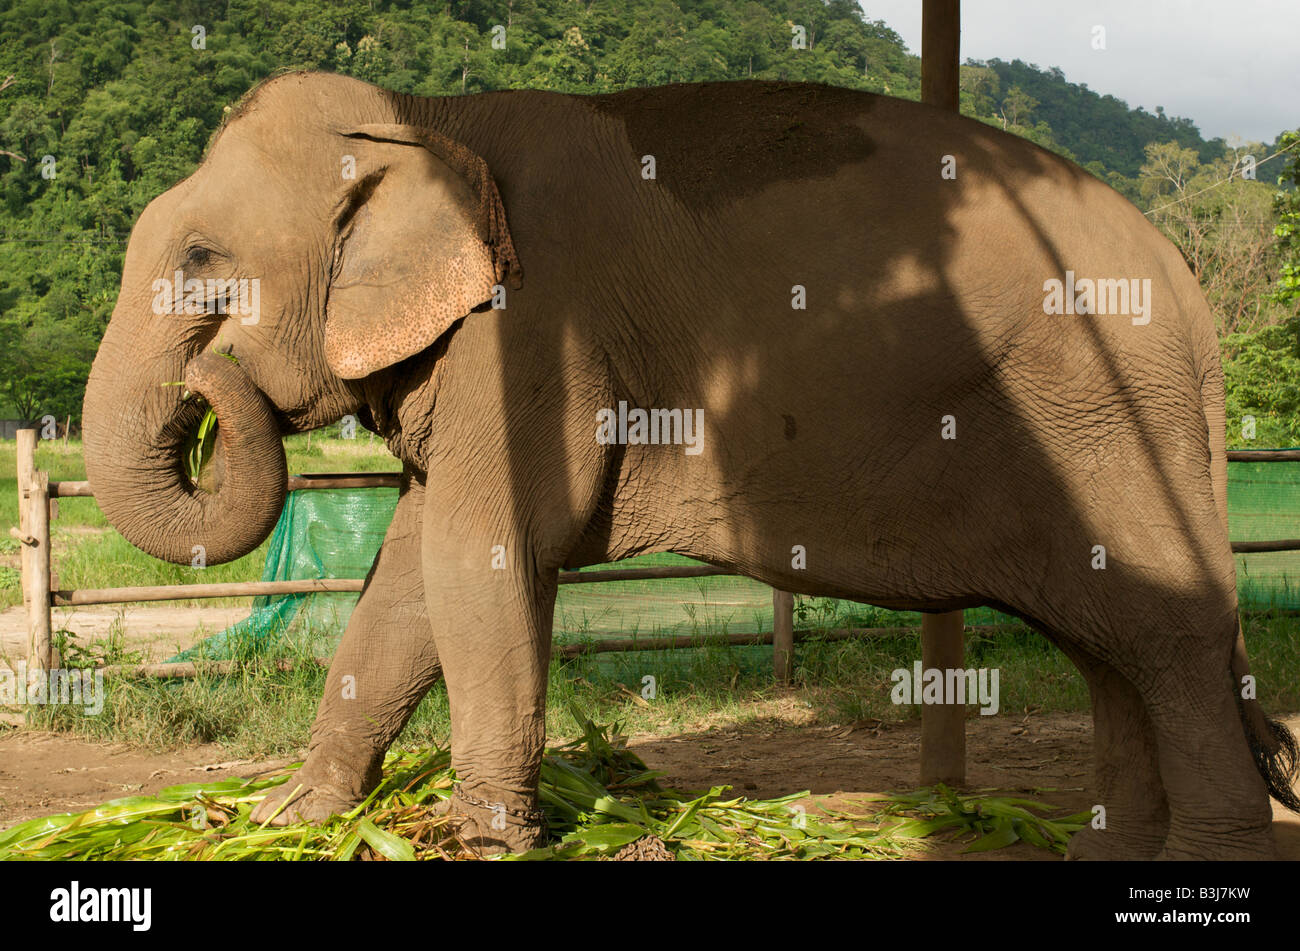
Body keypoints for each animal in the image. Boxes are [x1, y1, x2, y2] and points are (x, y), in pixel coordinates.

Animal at [82, 71, 1299, 859]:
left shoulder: (533, 332)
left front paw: (478, 839)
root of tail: (1189, 291)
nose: (212, 378)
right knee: (1111, 642)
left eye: (202, 260)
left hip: (1100, 413)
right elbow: (409, 577)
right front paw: (288, 819)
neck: (426, 122)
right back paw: (1118, 851)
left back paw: (1211, 855)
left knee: (1164, 632)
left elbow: (481, 556)